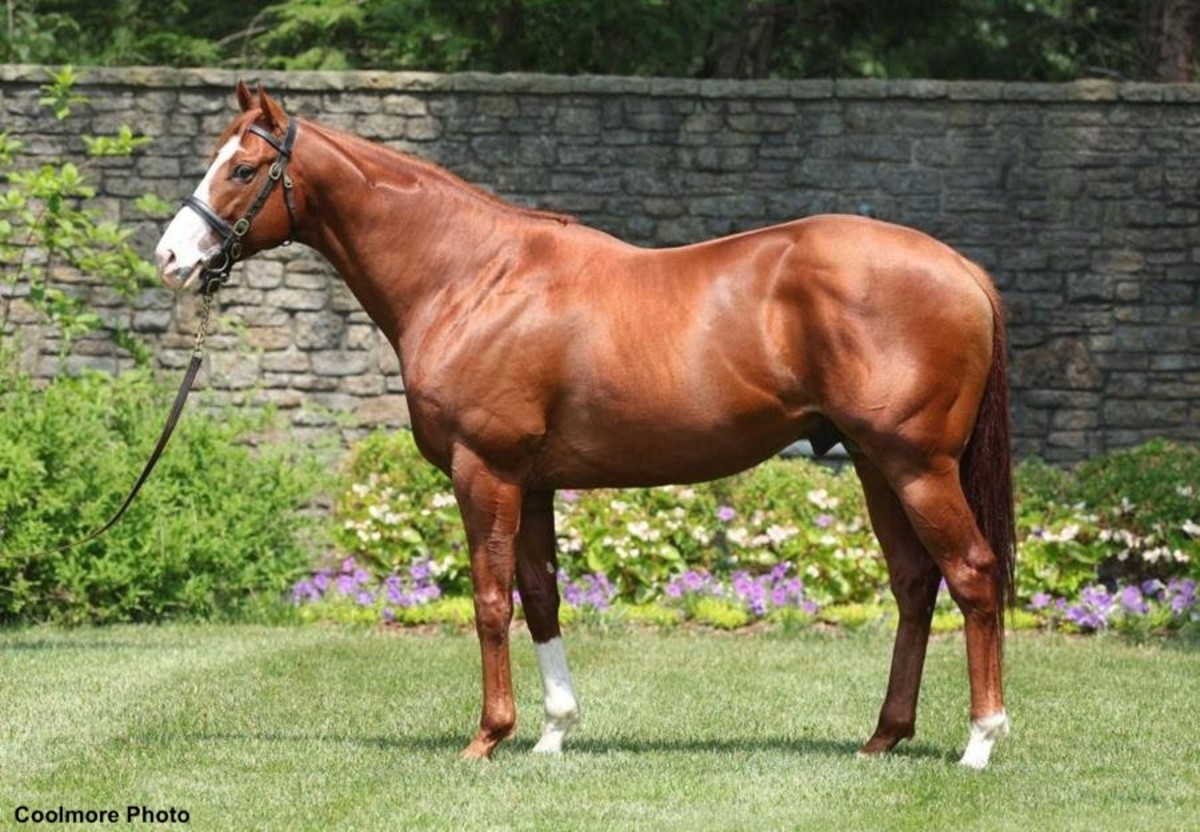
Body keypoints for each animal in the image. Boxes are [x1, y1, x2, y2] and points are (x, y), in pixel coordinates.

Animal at [155, 82, 1016, 768]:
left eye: (241, 169)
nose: (169, 259)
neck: (471, 277)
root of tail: (963, 269)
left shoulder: (484, 470)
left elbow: (490, 600)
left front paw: (487, 737)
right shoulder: (531, 483)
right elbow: (540, 595)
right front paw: (551, 733)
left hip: (916, 464)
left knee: (972, 573)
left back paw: (980, 742)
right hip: (876, 463)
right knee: (915, 583)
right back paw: (884, 737)